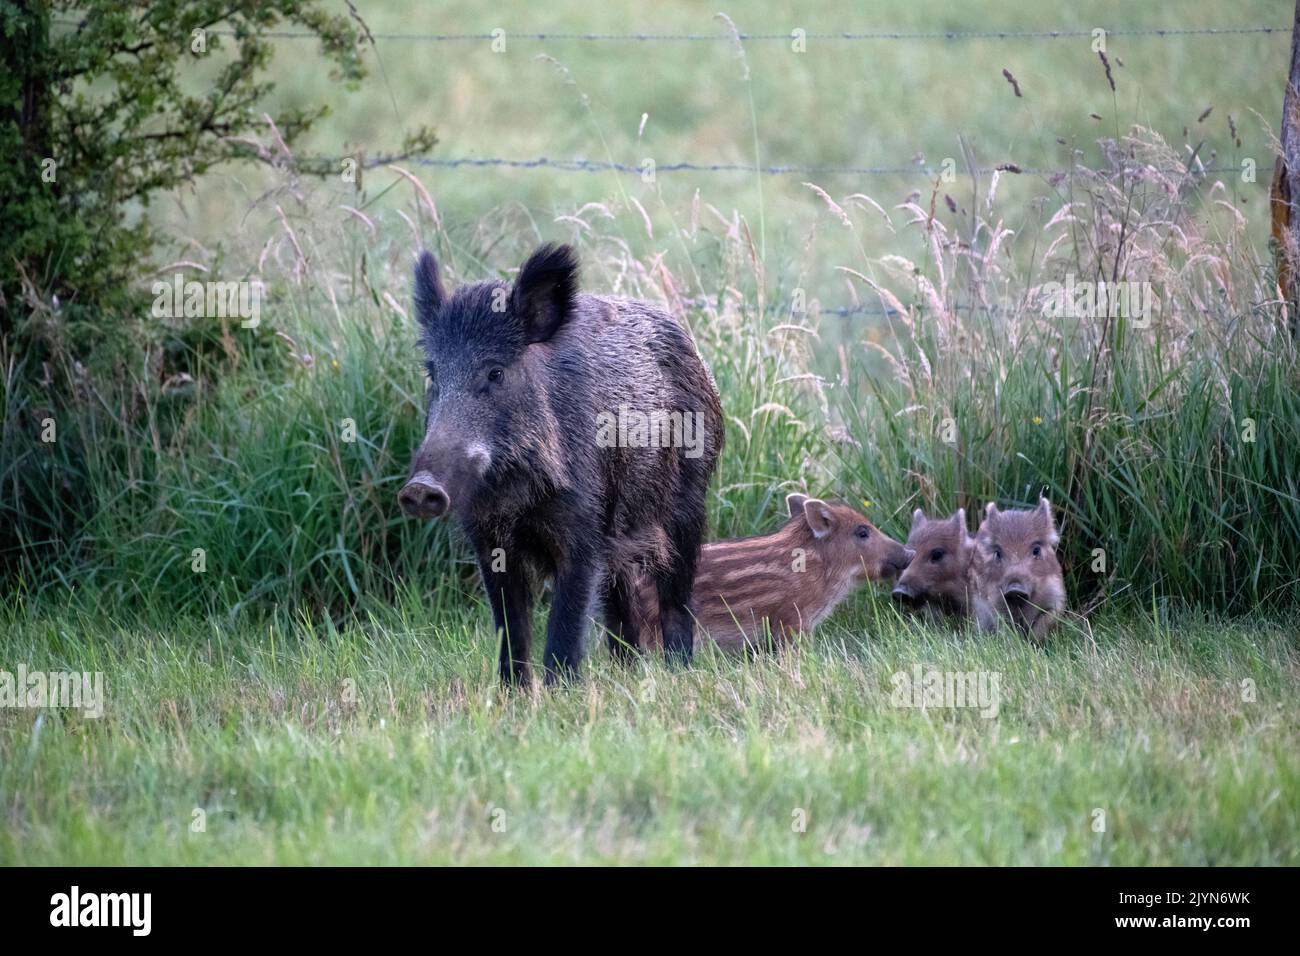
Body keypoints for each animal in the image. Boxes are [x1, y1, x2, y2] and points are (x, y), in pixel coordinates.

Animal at [397, 243, 723, 686]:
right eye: (433, 375)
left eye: (495, 372)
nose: (420, 488)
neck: (516, 496)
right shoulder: (489, 540)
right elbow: (510, 627)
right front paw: (513, 692)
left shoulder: (585, 527)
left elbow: (566, 623)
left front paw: (560, 691)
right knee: (621, 603)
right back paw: (627, 672)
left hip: (688, 504)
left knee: (676, 596)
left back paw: (678, 672)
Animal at [973, 498, 1066, 641]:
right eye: (998, 553)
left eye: (1036, 550)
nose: (1015, 588)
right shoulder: (992, 602)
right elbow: (1003, 625)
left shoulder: (1056, 599)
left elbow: (1044, 623)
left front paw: (1033, 641)